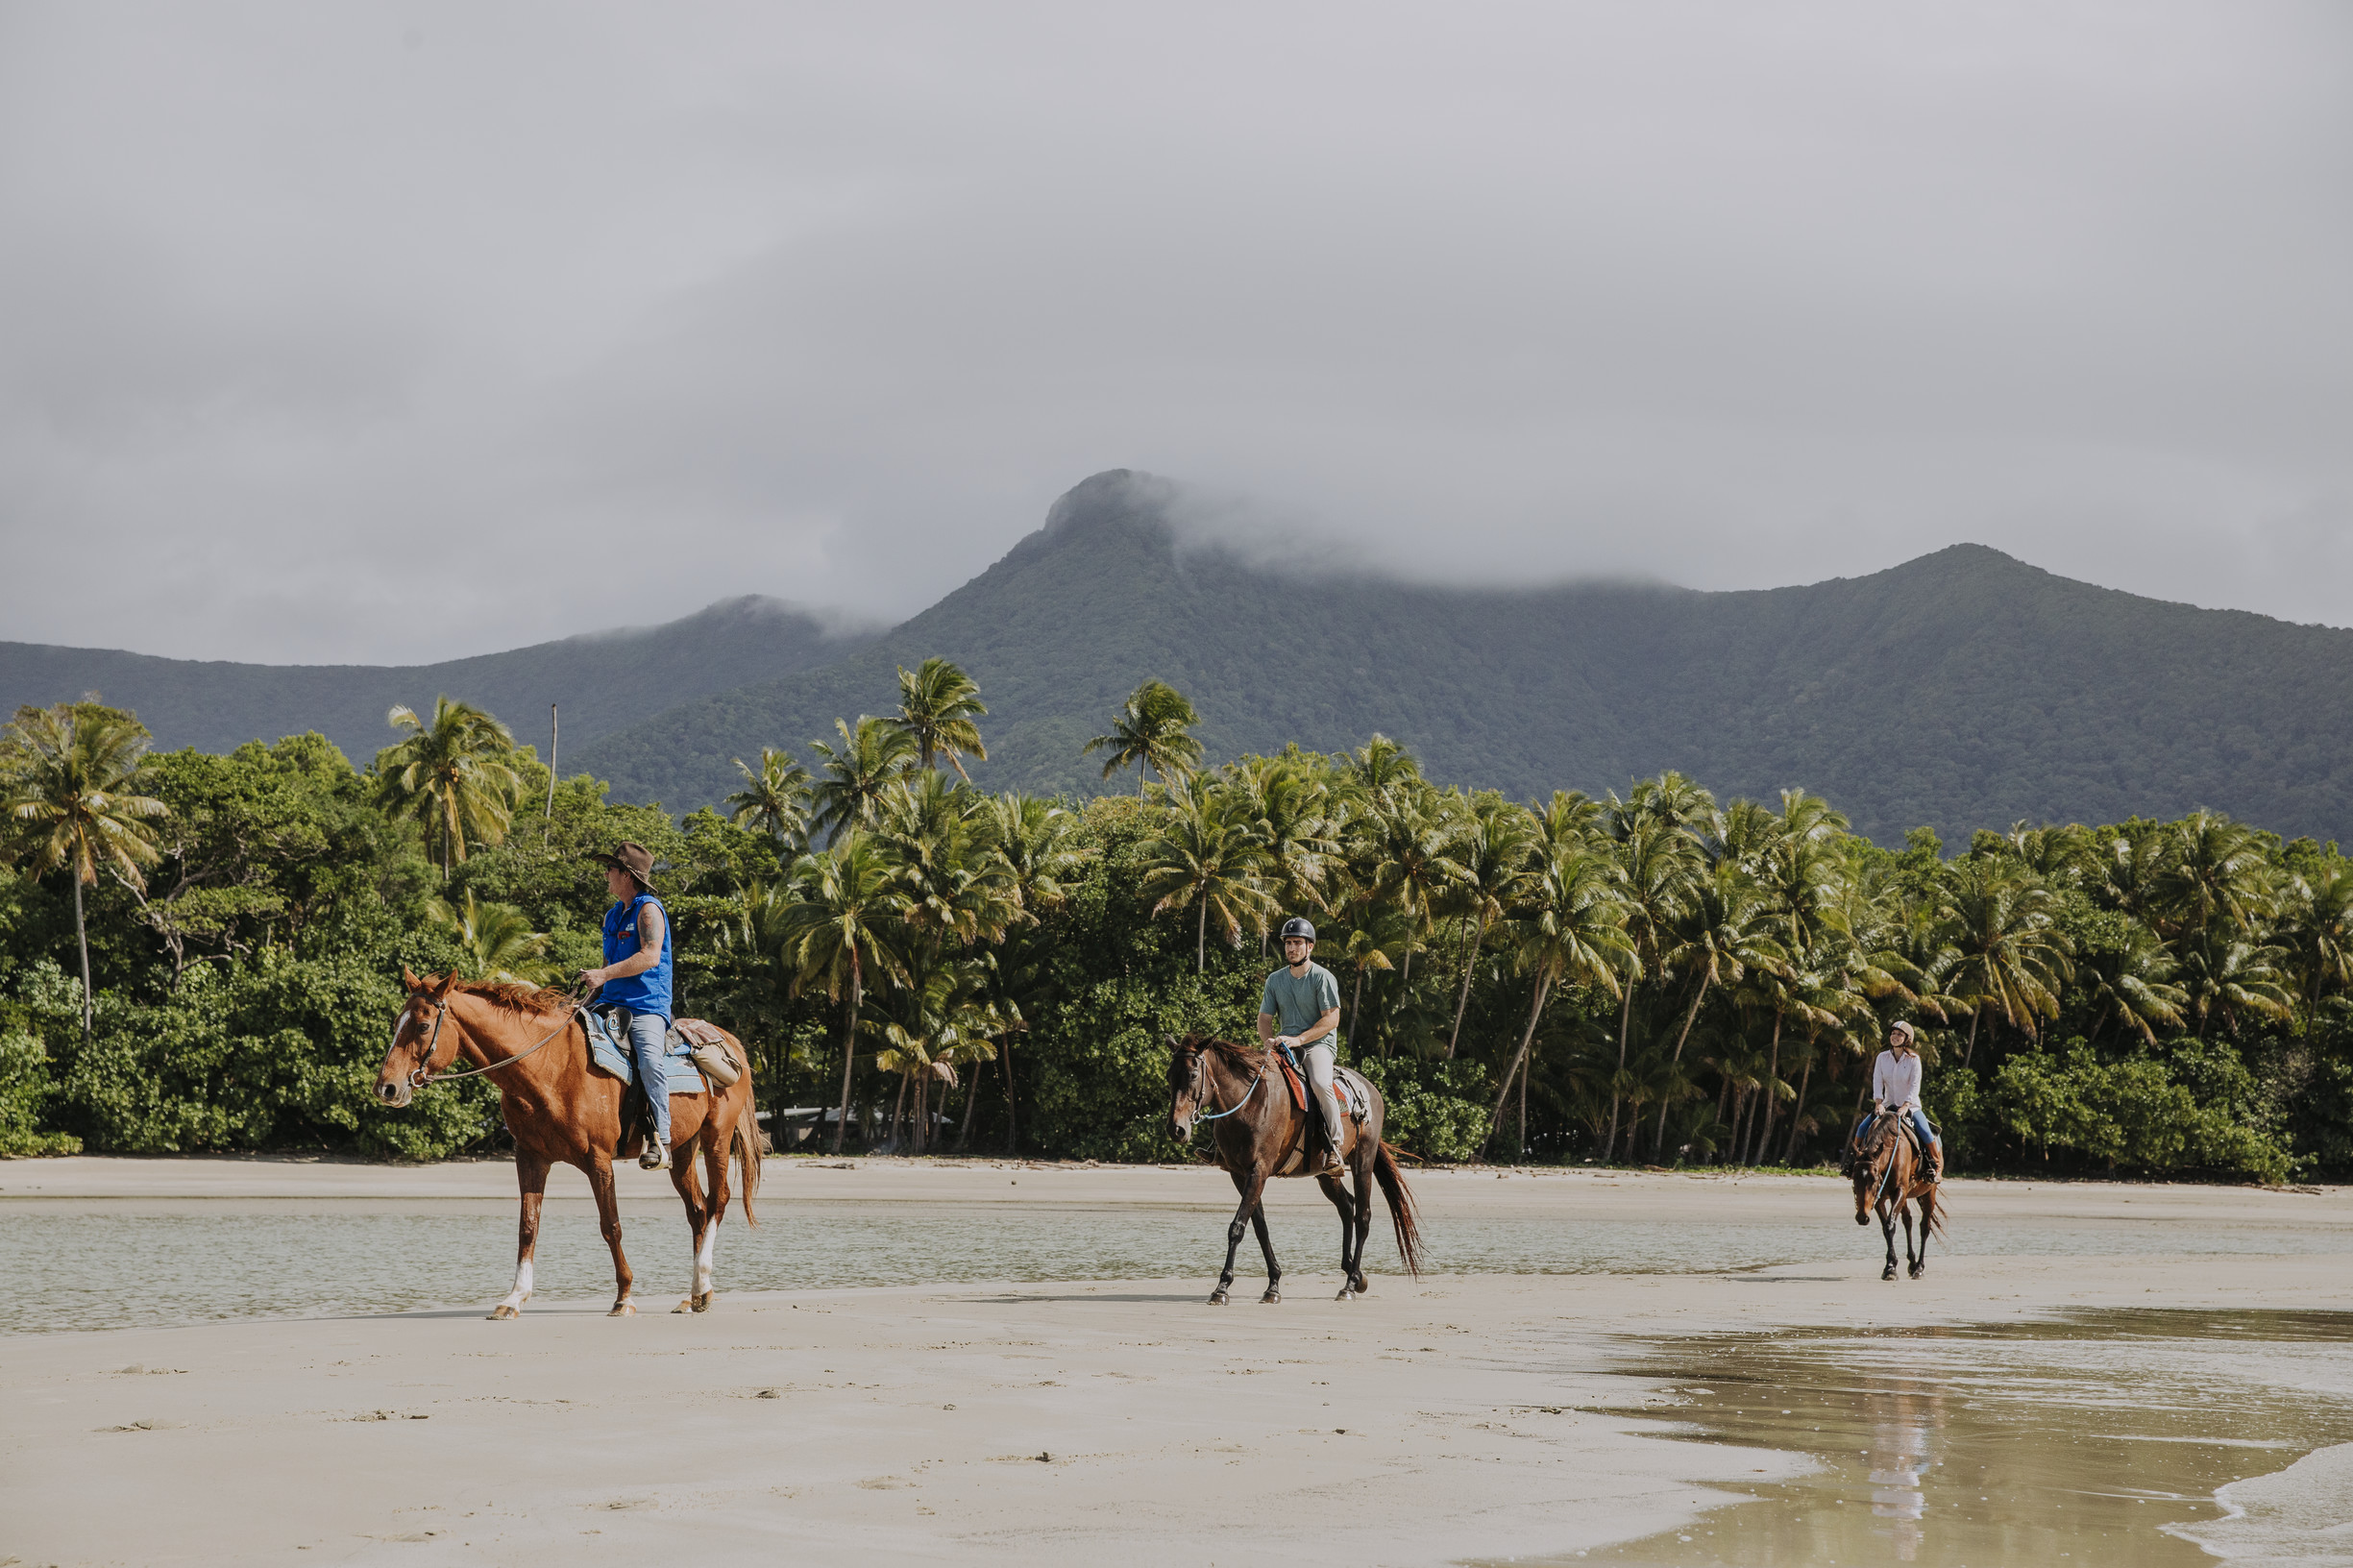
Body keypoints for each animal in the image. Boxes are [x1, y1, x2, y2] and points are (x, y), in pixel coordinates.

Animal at [374, 970, 761, 1319]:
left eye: (423, 1026)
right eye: (396, 1022)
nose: (386, 1088)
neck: (548, 1067)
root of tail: (731, 1043)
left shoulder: (598, 1161)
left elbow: (611, 1226)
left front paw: (623, 1297)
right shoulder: (530, 1158)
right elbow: (528, 1227)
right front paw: (514, 1297)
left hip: (716, 1137)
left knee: (718, 1201)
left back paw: (701, 1283)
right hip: (681, 1150)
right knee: (697, 1210)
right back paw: (695, 1294)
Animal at [1165, 1033, 1423, 1305]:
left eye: (1193, 1074)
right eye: (1169, 1075)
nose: (1176, 1129)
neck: (1248, 1102)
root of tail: (1371, 1090)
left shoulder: (1259, 1170)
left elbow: (1237, 1227)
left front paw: (1222, 1287)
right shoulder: (1239, 1174)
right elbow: (1260, 1228)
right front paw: (1273, 1285)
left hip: (1363, 1160)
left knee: (1363, 1216)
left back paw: (1350, 1284)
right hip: (1325, 1174)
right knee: (1346, 1206)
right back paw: (1356, 1274)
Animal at [1851, 1112, 1945, 1281]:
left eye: (1874, 1179)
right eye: (1854, 1178)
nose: (1862, 1217)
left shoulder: (1899, 1190)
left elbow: (1890, 1225)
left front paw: (1890, 1268)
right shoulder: (1880, 1197)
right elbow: (1886, 1227)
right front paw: (1890, 1266)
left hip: (1929, 1192)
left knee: (1924, 1227)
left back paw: (1919, 1268)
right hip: (1905, 1197)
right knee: (1908, 1221)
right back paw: (1912, 1263)